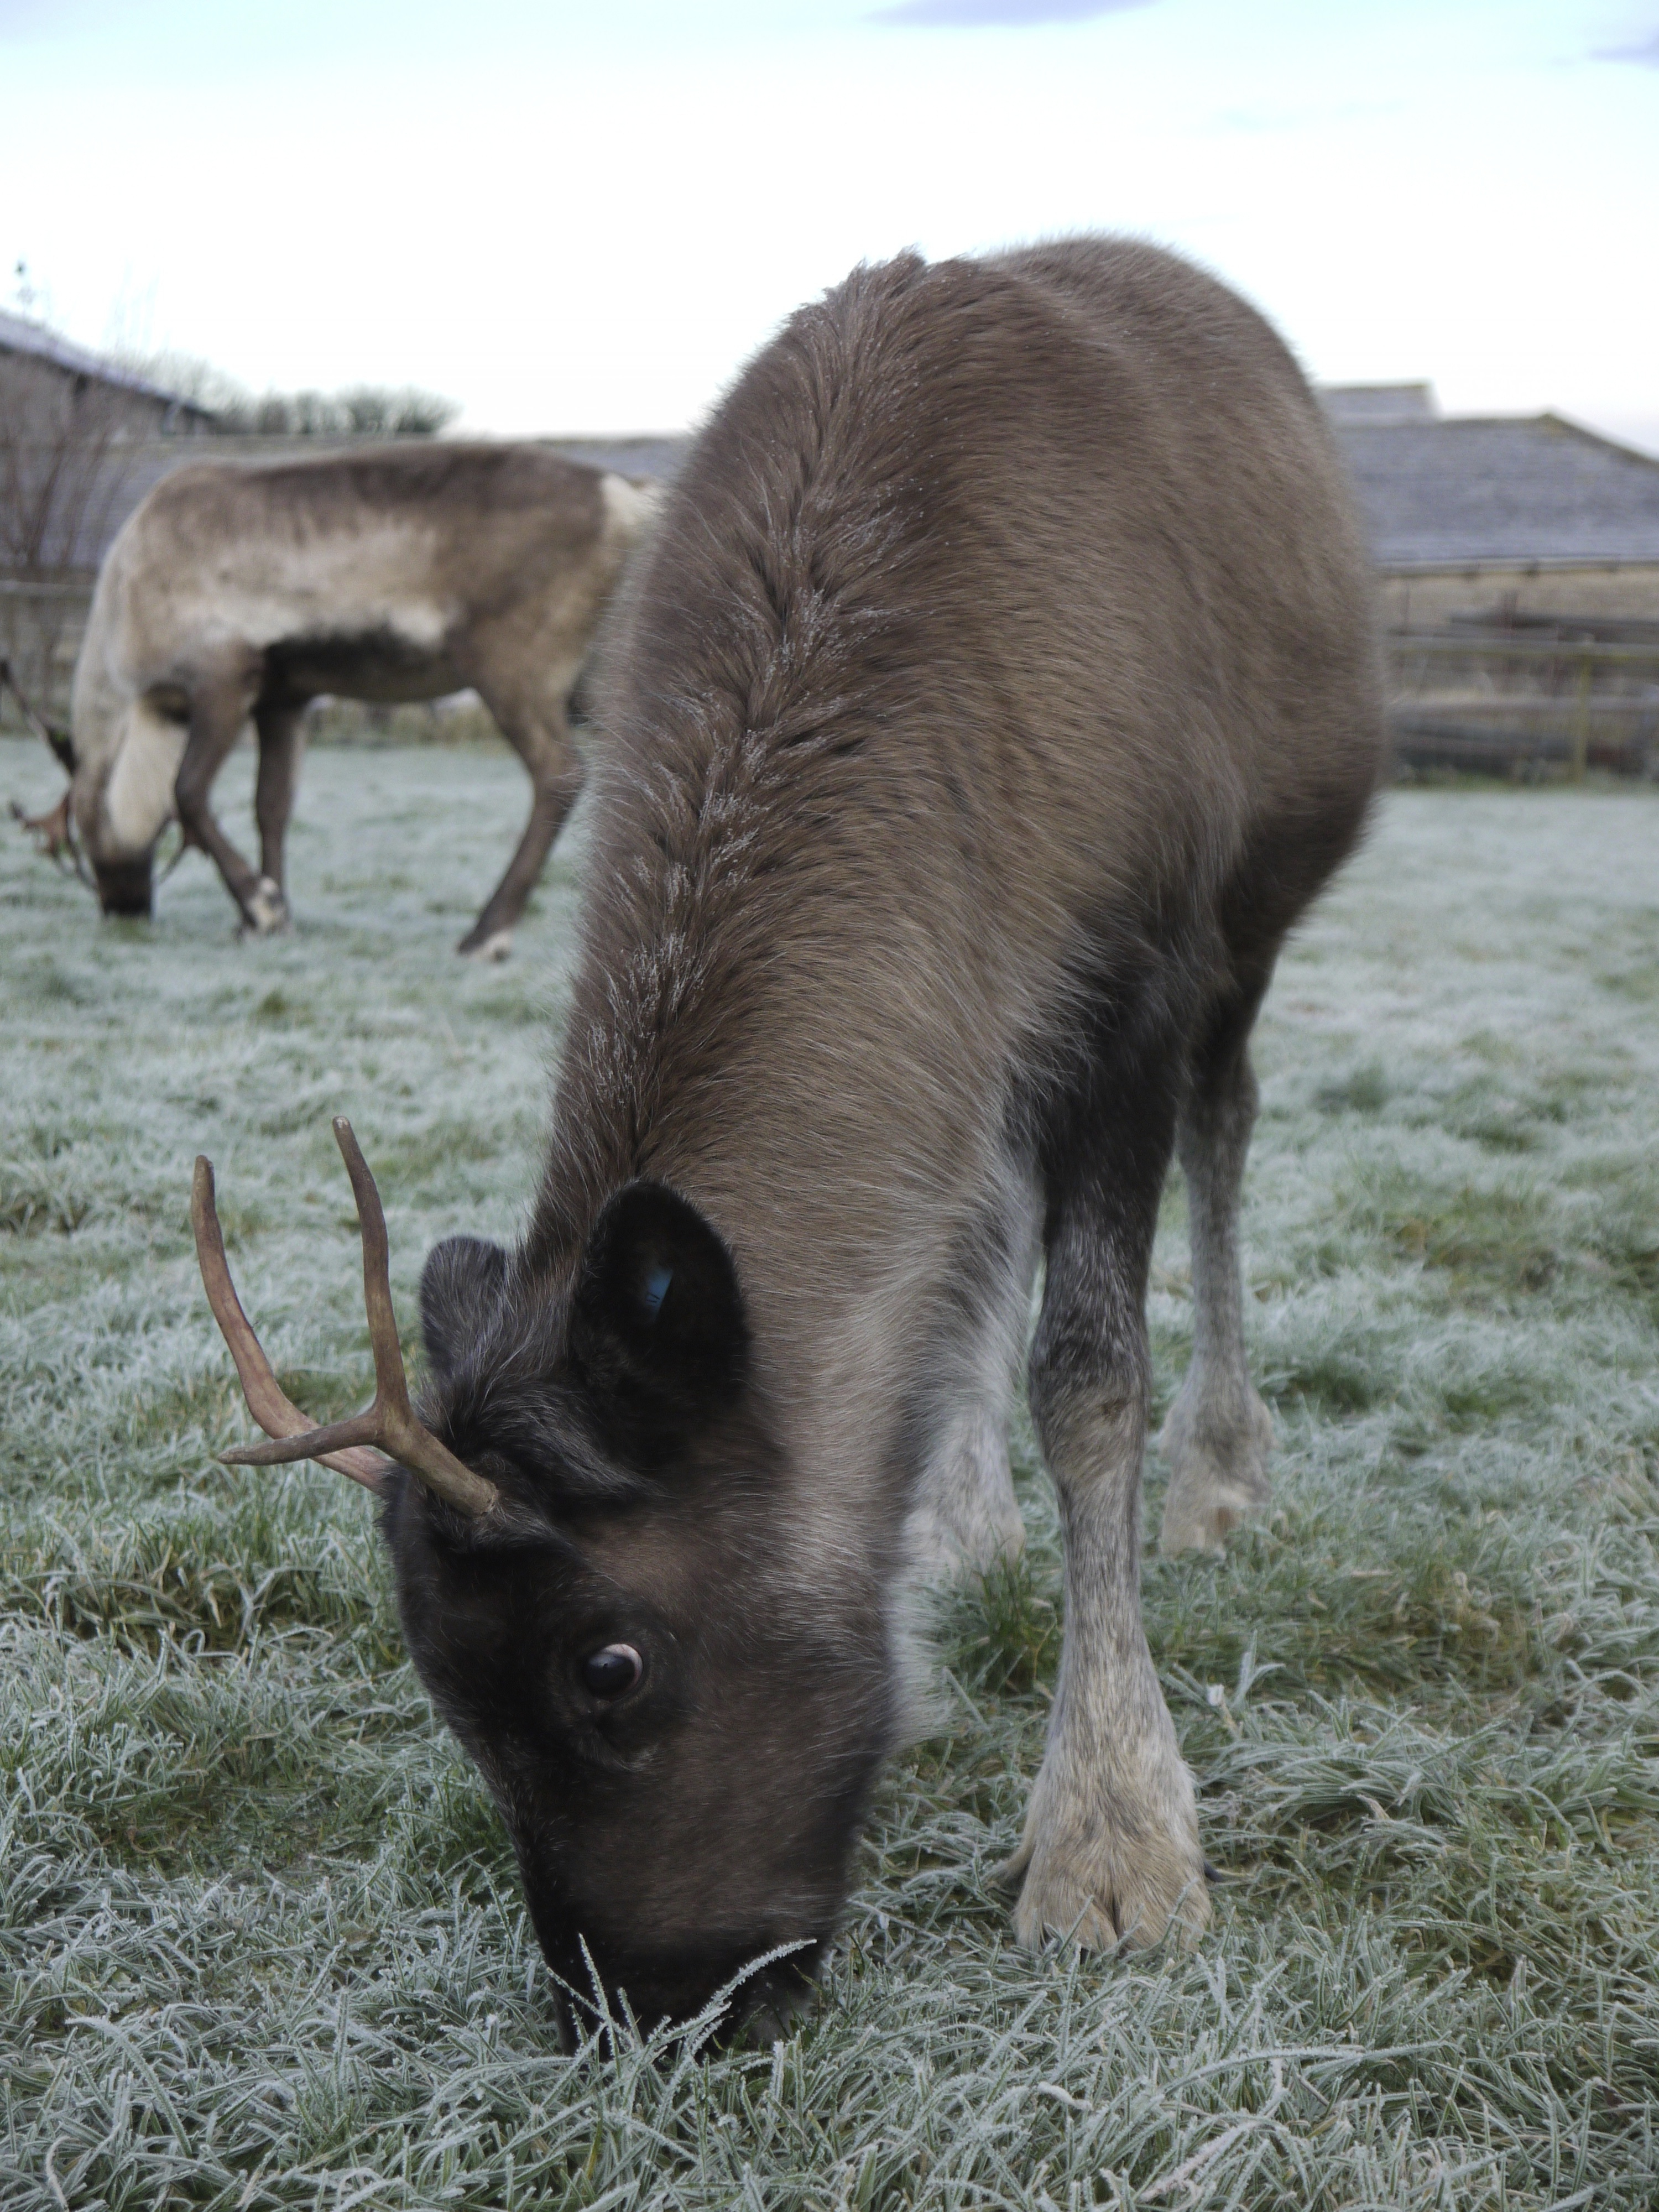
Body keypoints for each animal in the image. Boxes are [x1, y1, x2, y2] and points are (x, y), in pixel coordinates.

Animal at [61, 441, 659, 954]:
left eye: (85, 831)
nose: (123, 911)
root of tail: (627, 501)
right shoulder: (285, 698)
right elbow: (270, 806)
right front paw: (270, 915)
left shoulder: (225, 677)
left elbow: (187, 792)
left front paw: (261, 907)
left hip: (515, 666)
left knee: (560, 773)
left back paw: (487, 933)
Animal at [191, 237, 1385, 2041]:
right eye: (437, 1675)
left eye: (609, 1664)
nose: (649, 2003)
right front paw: (951, 1525)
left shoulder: (1143, 958)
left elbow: (1088, 1372)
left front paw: (1112, 1839)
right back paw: (965, 1513)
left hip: (1261, 905)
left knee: (1226, 1132)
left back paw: (1224, 1468)